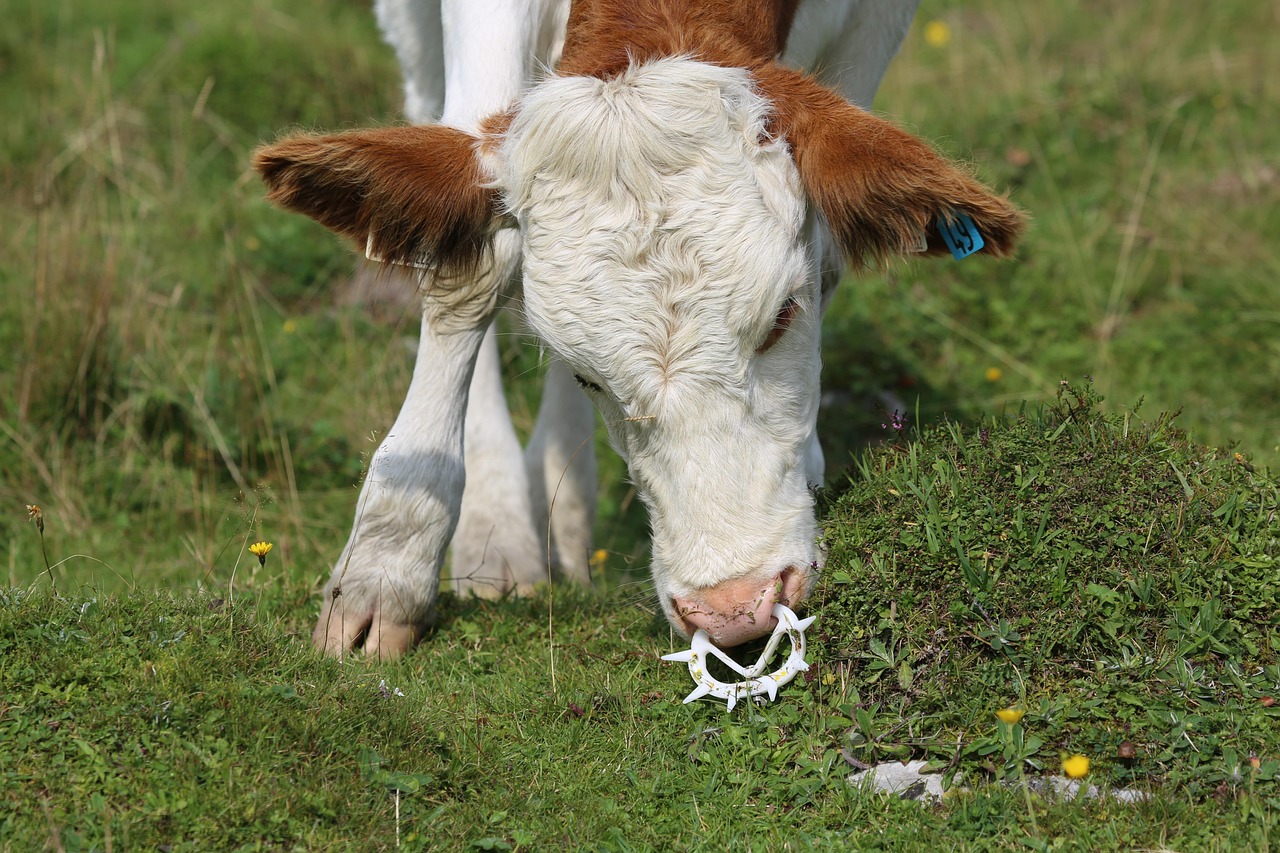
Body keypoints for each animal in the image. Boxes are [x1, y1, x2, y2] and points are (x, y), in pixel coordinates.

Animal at [253, 0, 1024, 658]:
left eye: (783, 315)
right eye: (586, 372)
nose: (734, 608)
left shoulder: (879, 20)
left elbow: (829, 248)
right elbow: (472, 267)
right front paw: (389, 569)